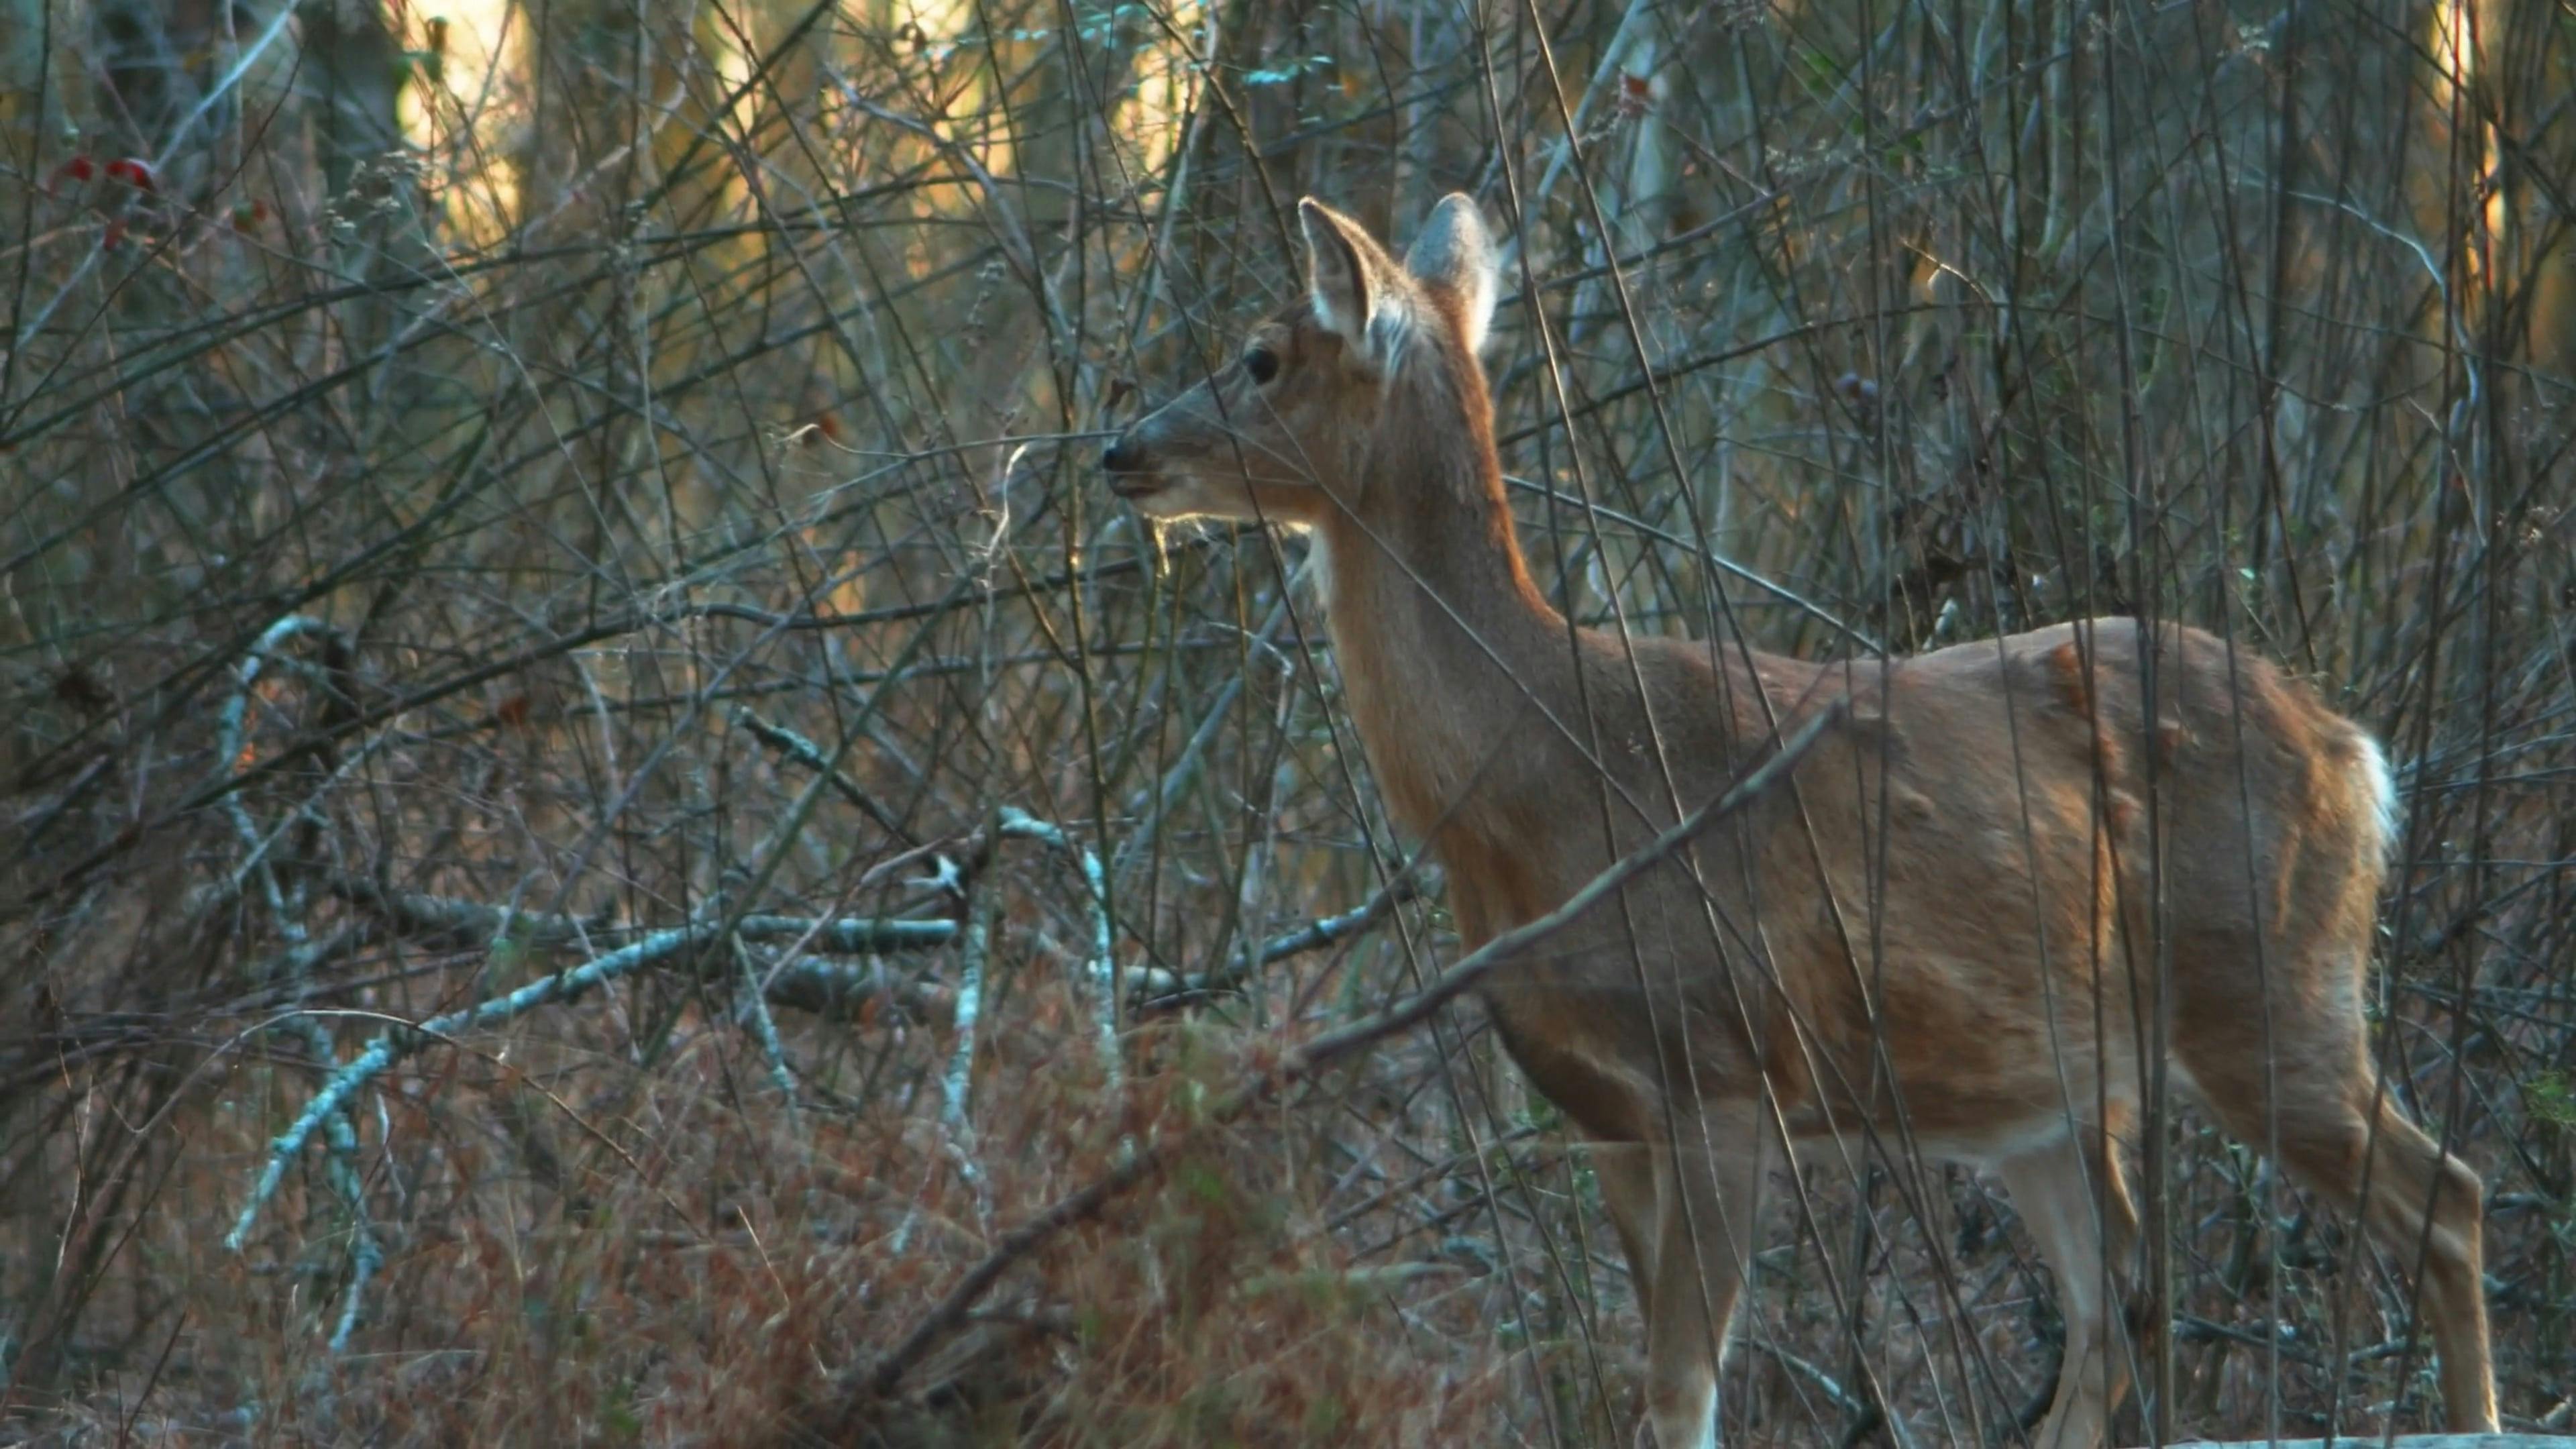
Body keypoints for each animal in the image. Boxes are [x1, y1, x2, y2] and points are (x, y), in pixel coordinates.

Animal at [1097, 194, 2496, 1449]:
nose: (1118, 447)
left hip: (2266, 980)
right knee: (2120, 1306)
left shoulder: (1726, 1070)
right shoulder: (1607, 1112)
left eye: (1261, 355)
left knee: (2448, 1199)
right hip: (2055, 1089)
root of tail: (2358, 751)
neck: (1542, 776)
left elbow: (1681, 1397)